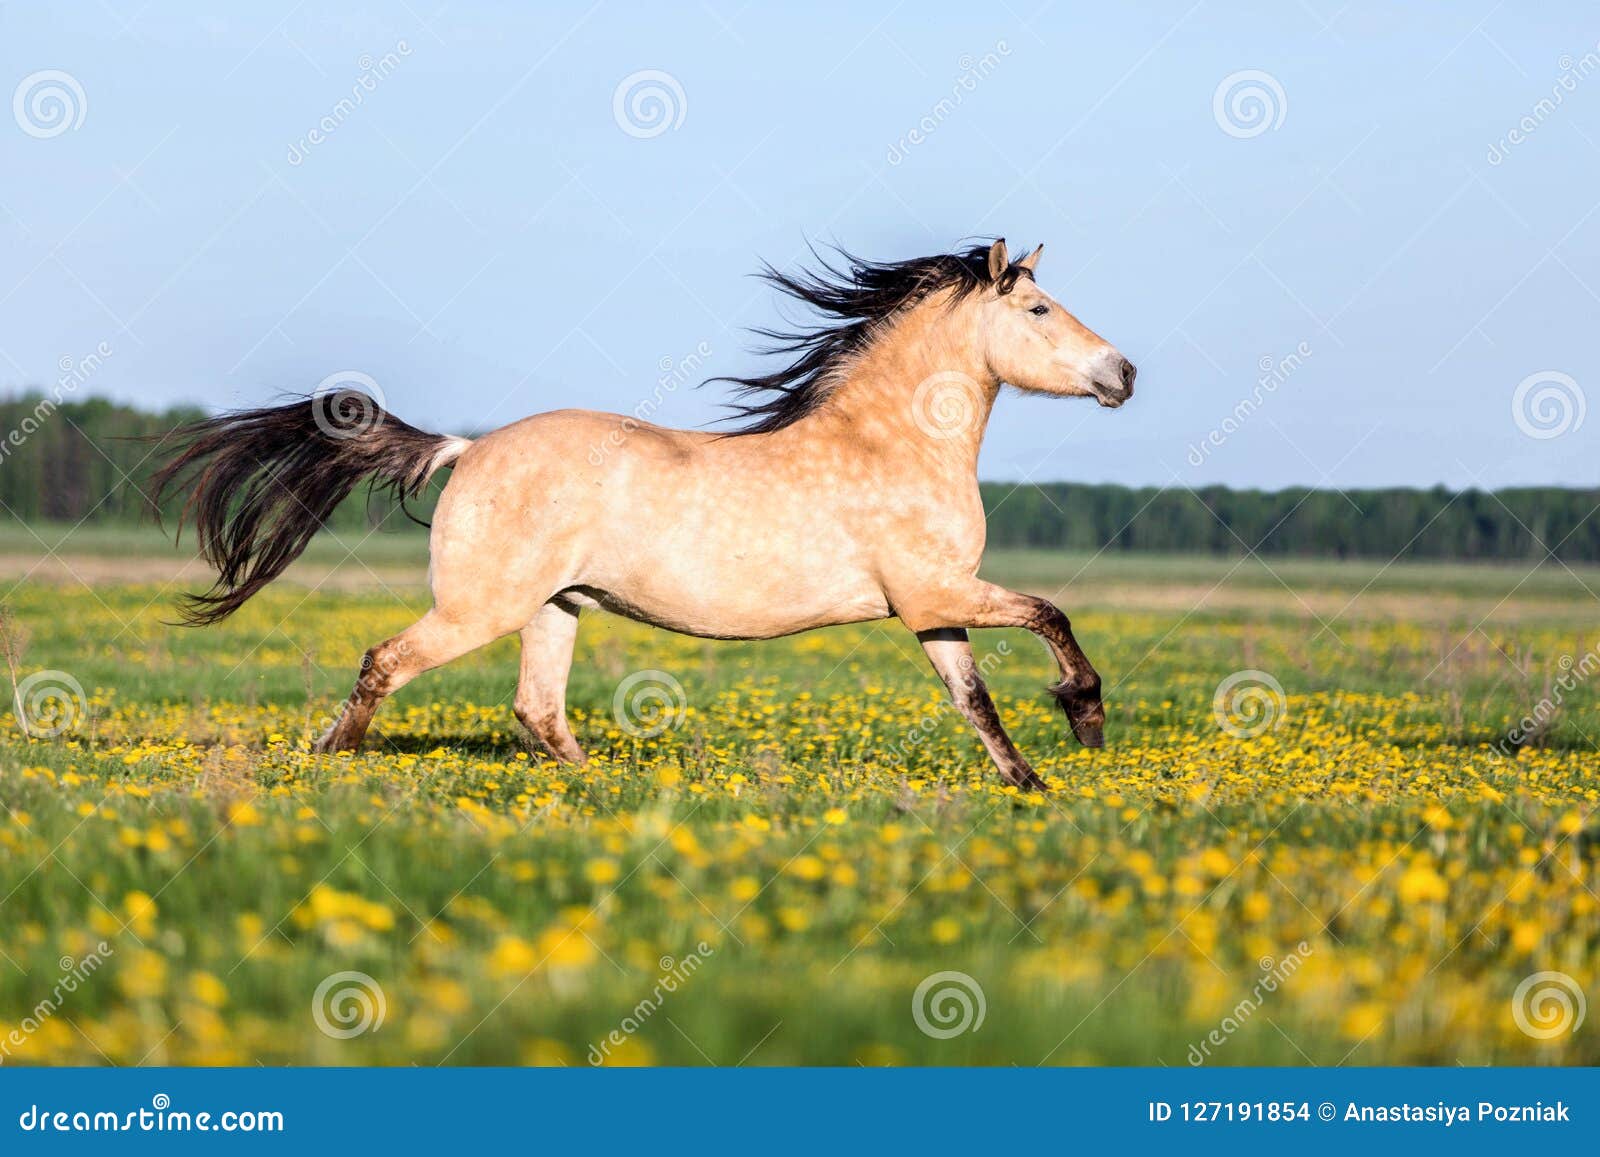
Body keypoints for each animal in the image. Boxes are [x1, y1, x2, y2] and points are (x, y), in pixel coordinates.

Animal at [153, 239, 1135, 790]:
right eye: (1040, 307)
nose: (1123, 373)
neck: (891, 443)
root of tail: (467, 450)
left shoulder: (932, 606)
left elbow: (975, 700)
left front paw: (1031, 783)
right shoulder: (939, 590)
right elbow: (1052, 613)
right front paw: (1084, 714)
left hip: (553, 608)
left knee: (538, 709)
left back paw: (600, 790)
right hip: (481, 608)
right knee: (387, 662)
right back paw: (333, 757)